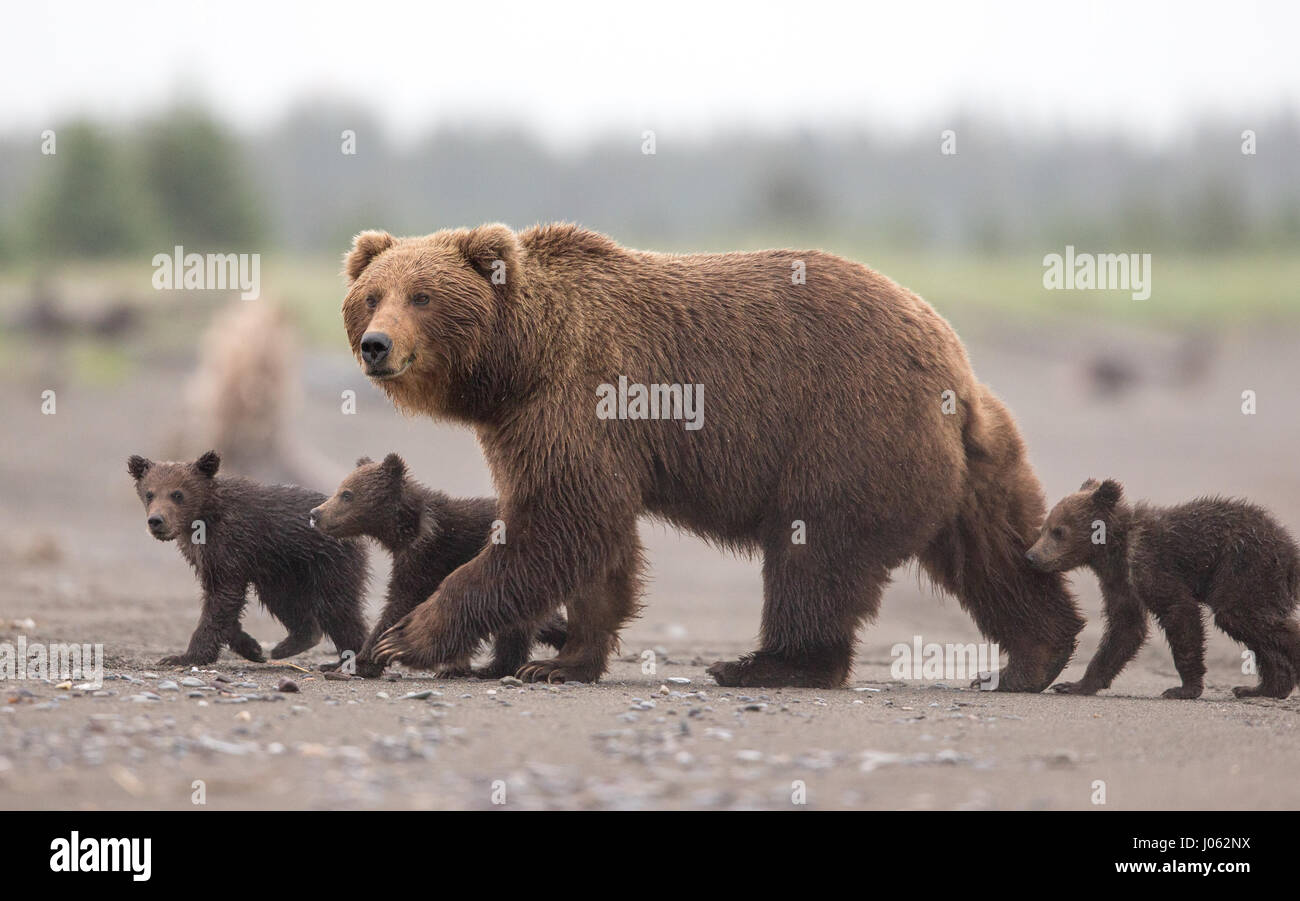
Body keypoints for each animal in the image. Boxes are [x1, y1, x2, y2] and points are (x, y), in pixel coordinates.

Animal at [128, 450, 369, 667]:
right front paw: (252, 647)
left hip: (328, 562)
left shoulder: (230, 545)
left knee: (336, 606)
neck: (201, 521)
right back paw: (287, 646)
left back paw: (347, 659)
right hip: (281, 571)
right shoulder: (205, 557)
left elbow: (223, 598)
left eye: (177, 494)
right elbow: (221, 600)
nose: (156, 520)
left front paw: (183, 657)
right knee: (285, 602)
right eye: (150, 493)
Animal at [308, 452, 568, 678]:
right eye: (340, 489)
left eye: (347, 494)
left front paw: (366, 659)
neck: (412, 530)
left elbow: (401, 606)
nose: (315, 513)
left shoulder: (430, 559)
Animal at [340, 223, 1083, 689]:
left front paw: (407, 635)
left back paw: (766, 664)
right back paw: (1033, 656)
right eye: (371, 294)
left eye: (422, 295)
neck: (519, 364)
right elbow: (598, 543)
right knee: (996, 550)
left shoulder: (578, 403)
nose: (377, 344)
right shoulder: (547, 426)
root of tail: (952, 365)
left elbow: (558, 525)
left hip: (845, 431)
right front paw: (561, 660)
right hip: (973, 461)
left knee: (813, 553)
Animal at [1026, 479, 1300, 699]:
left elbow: (1179, 612)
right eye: (1045, 528)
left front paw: (1183, 688)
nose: (1031, 556)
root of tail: (1289, 549)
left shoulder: (1151, 563)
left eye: (1058, 531)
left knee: (1240, 616)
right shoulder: (1120, 581)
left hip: (1244, 566)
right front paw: (1074, 684)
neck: (1114, 550)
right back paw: (1262, 688)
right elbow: (1125, 627)